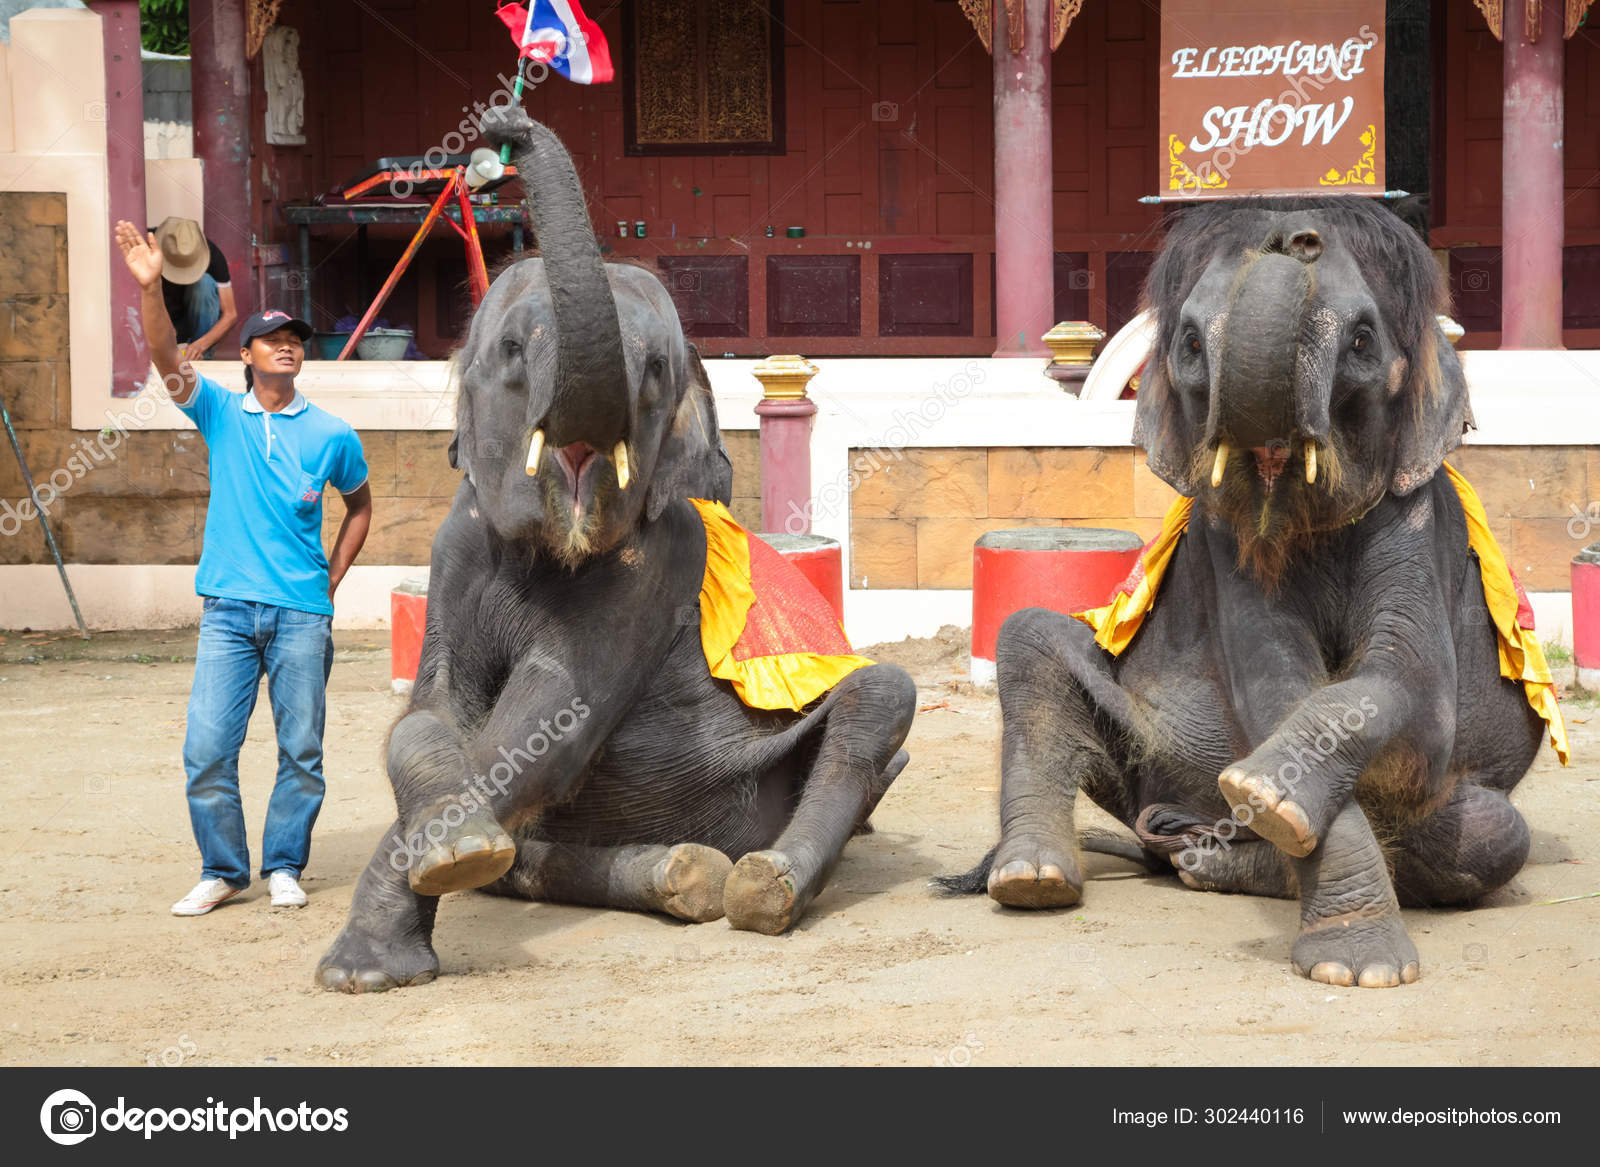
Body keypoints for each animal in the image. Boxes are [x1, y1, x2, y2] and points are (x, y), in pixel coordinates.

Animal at [316, 108, 916, 993]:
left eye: (659, 370)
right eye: (513, 353)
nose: (505, 126)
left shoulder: (654, 569)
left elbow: (548, 719)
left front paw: (370, 962)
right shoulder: (453, 547)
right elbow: (433, 708)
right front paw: (442, 872)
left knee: (880, 699)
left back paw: (758, 883)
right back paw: (678, 872)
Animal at [940, 196, 1565, 989]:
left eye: (1362, 339)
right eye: (1189, 342)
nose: (1293, 230)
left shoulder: (1421, 524)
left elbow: (1417, 699)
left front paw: (1269, 804)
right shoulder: (1220, 540)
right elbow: (1274, 683)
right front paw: (1354, 957)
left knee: (1493, 833)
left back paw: (1208, 859)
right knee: (1028, 637)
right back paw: (1038, 878)